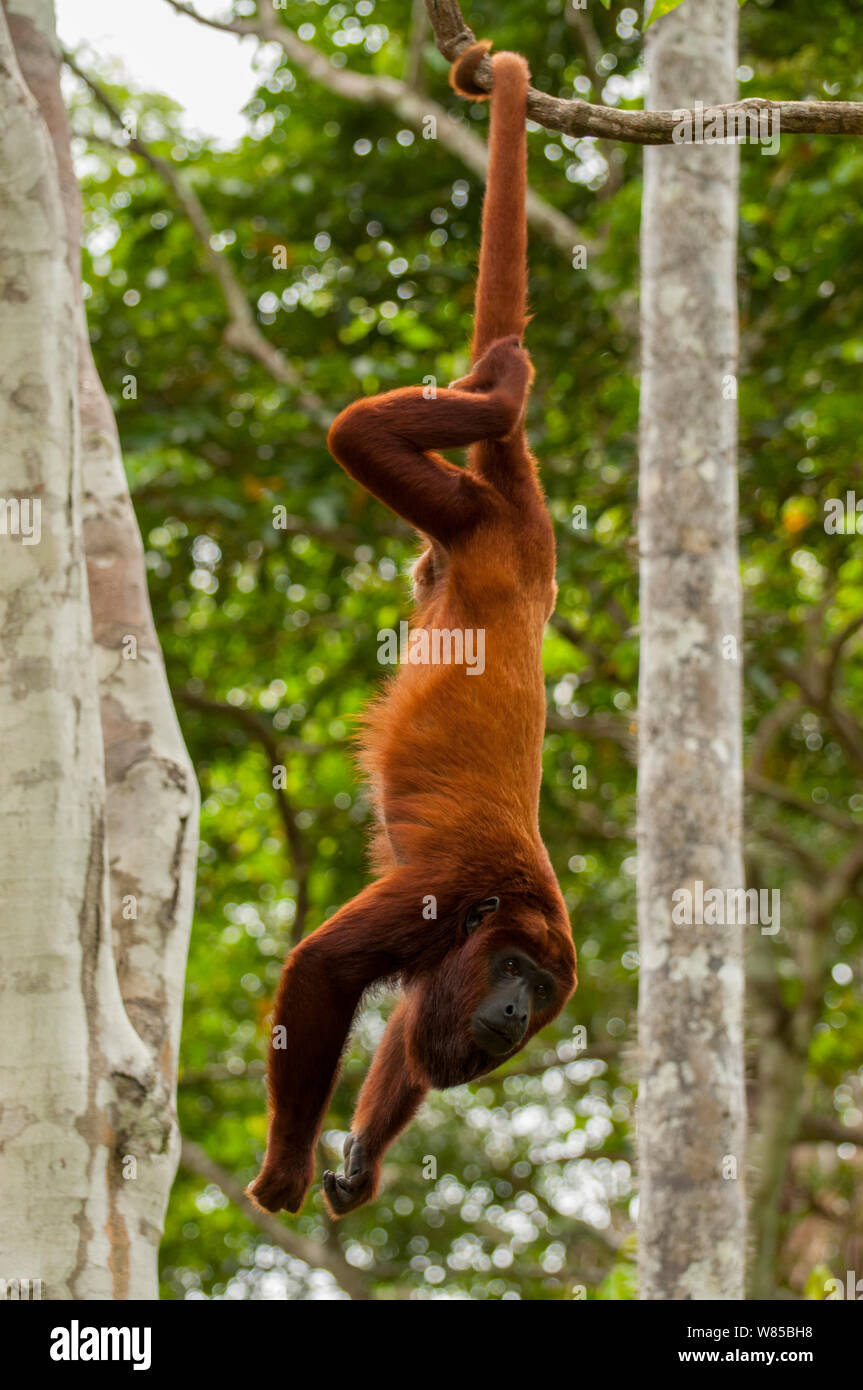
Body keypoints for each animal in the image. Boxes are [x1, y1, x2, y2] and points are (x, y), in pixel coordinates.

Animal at [247, 40, 577, 1220]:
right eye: (520, 976)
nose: (517, 1016)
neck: (510, 908)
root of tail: (526, 544)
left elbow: (405, 1020)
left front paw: (359, 1163)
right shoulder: (449, 893)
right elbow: (324, 971)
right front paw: (289, 1166)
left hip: (457, 547)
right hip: (474, 517)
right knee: (364, 432)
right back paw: (502, 390)